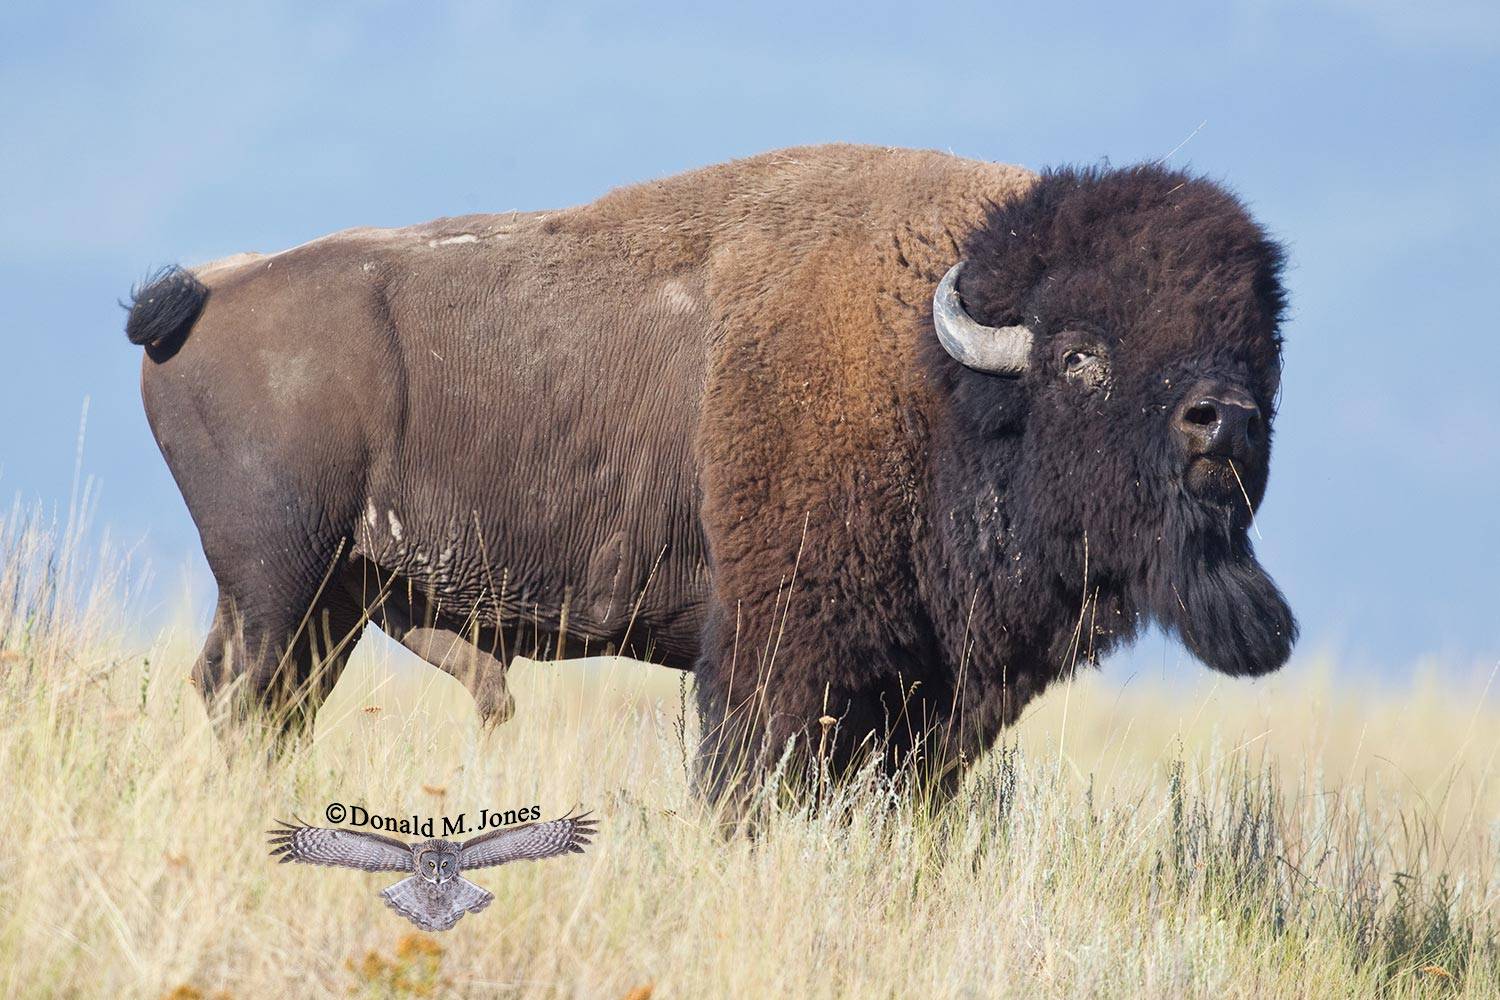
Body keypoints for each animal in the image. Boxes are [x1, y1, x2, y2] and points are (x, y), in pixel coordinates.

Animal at [127, 144, 1295, 798]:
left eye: (1253, 349)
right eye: (1081, 353)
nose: (1222, 423)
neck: (938, 374)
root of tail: (212, 291)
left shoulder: (938, 701)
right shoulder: (777, 659)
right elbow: (749, 776)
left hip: (335, 599)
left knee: (264, 705)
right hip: (279, 584)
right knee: (243, 696)